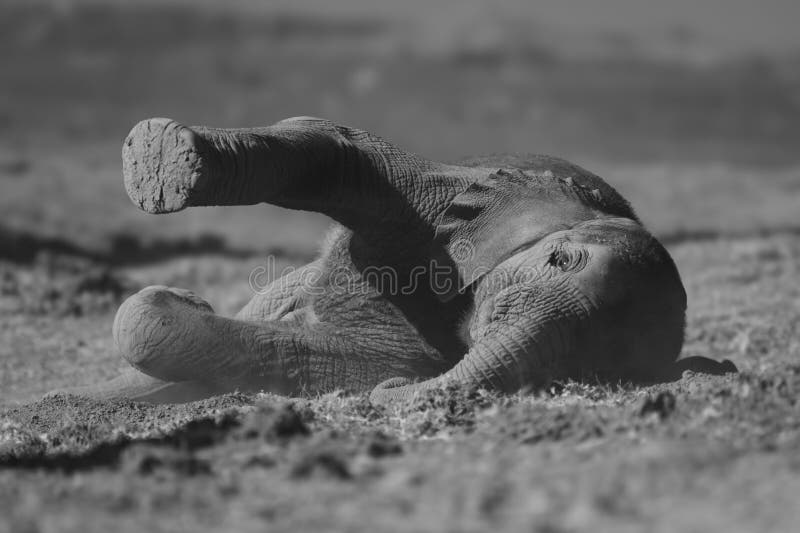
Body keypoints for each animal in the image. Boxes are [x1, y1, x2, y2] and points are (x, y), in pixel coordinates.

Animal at [52, 117, 736, 404]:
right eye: (560, 259)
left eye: (596, 366)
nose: (395, 395)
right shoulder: (454, 203)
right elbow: (334, 146)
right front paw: (164, 161)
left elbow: (313, 358)